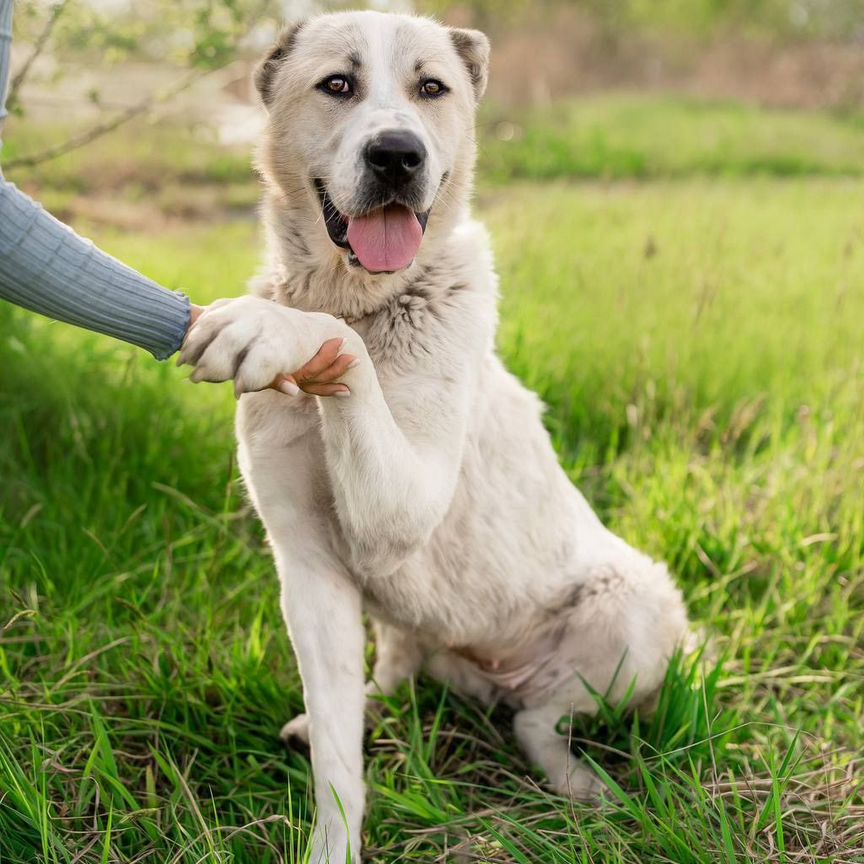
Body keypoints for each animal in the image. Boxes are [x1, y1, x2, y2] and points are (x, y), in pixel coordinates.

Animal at [179, 10, 692, 860]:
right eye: (338, 84)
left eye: (431, 88)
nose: (397, 154)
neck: (364, 299)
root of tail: (497, 672)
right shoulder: (310, 571)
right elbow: (337, 759)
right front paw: (333, 835)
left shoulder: (404, 504)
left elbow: (332, 340)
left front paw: (274, 327)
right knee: (393, 669)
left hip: (639, 611)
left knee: (539, 719)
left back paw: (579, 783)